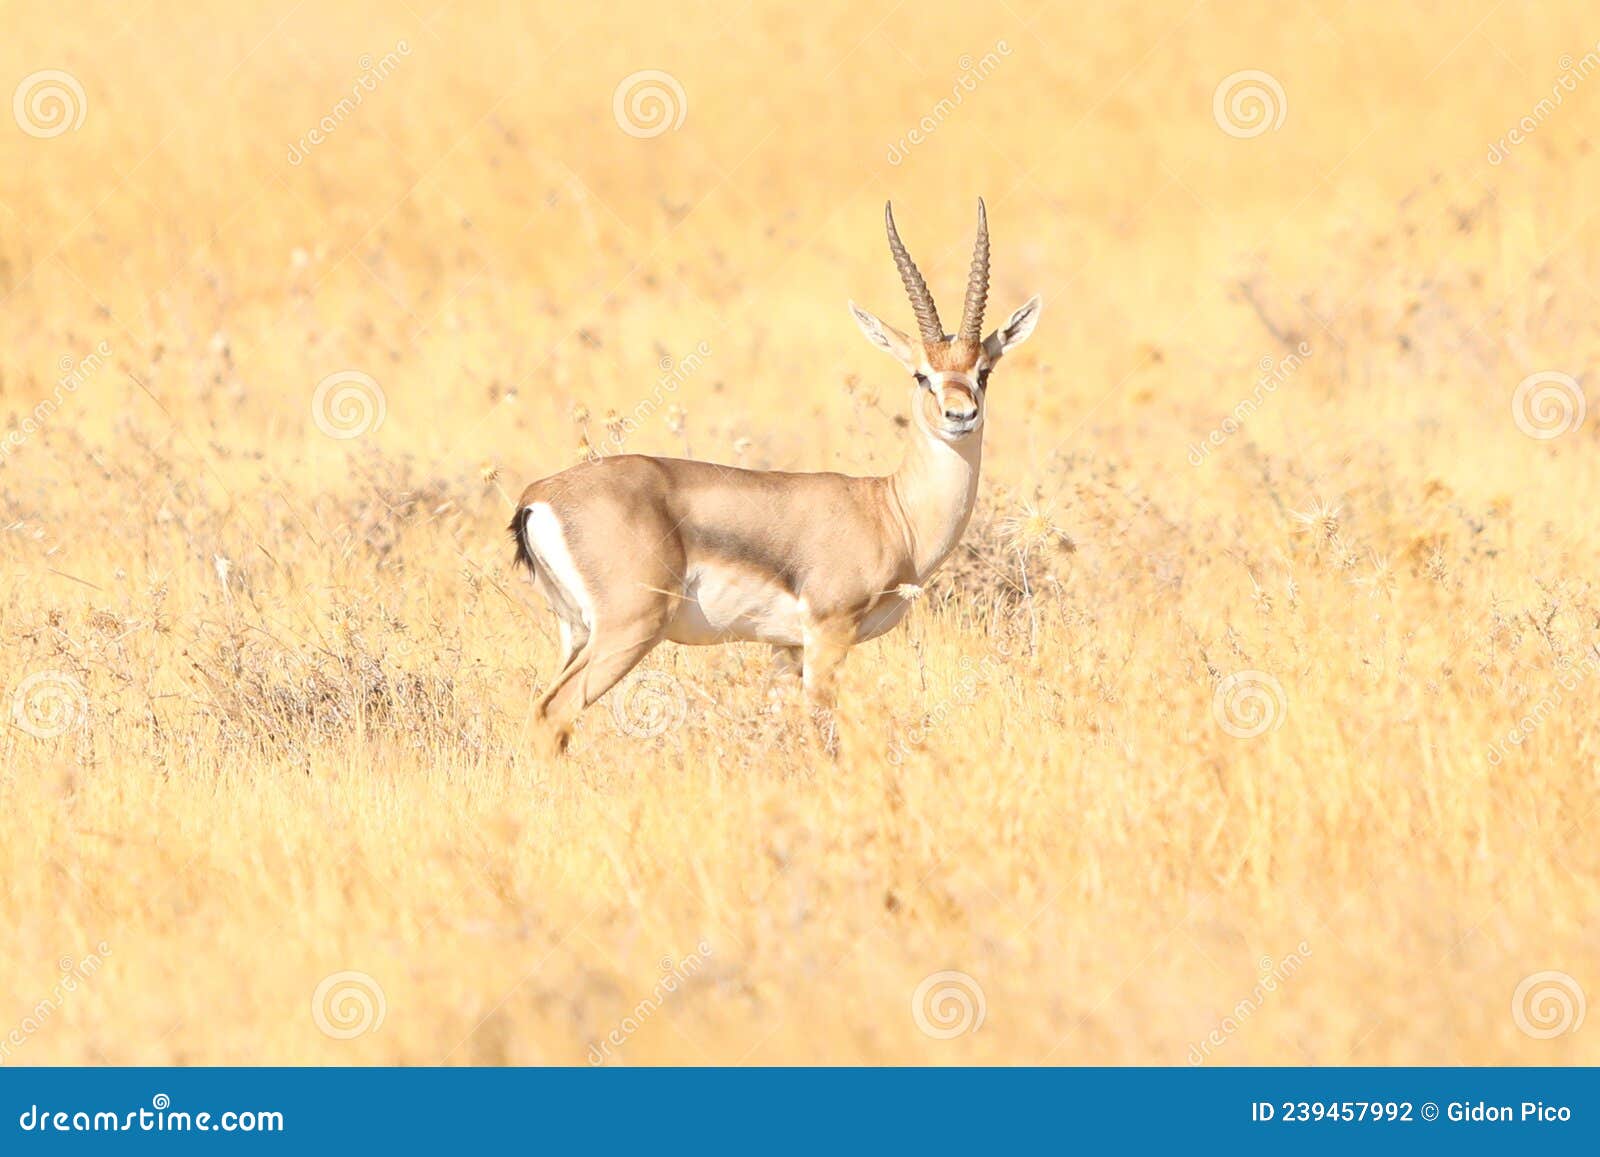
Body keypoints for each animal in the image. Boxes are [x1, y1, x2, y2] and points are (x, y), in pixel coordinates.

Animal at [511, 201, 1040, 752]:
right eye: (921, 375)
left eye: (983, 372)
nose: (961, 416)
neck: (890, 513)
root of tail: (540, 496)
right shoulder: (827, 633)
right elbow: (823, 729)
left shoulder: (785, 648)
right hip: (627, 629)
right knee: (553, 711)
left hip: (576, 632)